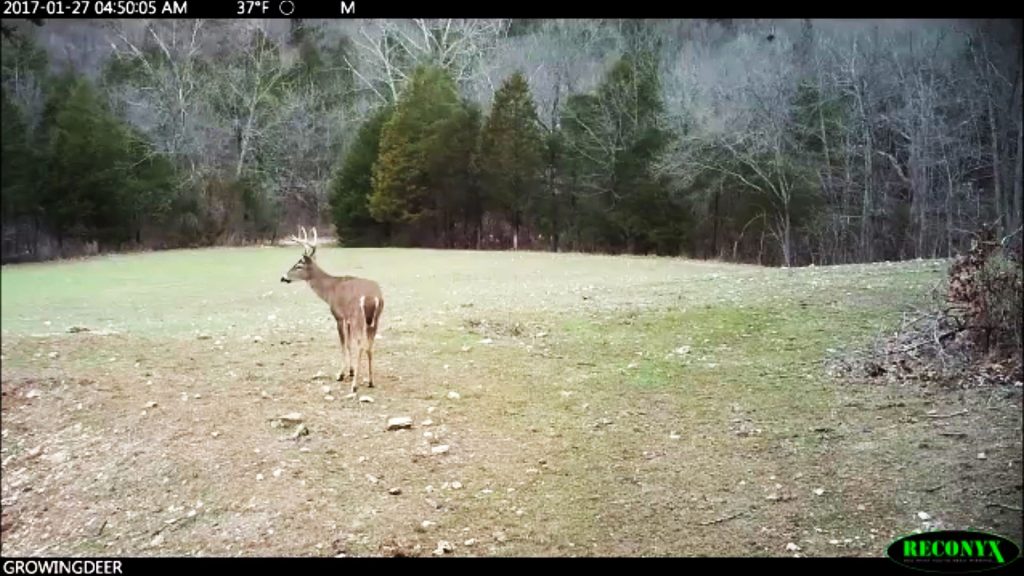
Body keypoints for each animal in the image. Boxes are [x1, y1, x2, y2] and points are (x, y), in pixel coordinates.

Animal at [280, 226, 384, 394]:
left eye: (298, 265)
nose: (283, 277)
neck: (330, 290)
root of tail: (371, 297)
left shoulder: (339, 316)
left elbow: (343, 344)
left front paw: (341, 374)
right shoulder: (347, 319)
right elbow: (348, 344)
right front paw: (351, 371)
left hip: (359, 318)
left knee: (361, 345)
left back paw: (354, 386)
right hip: (374, 320)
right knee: (370, 346)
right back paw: (371, 381)